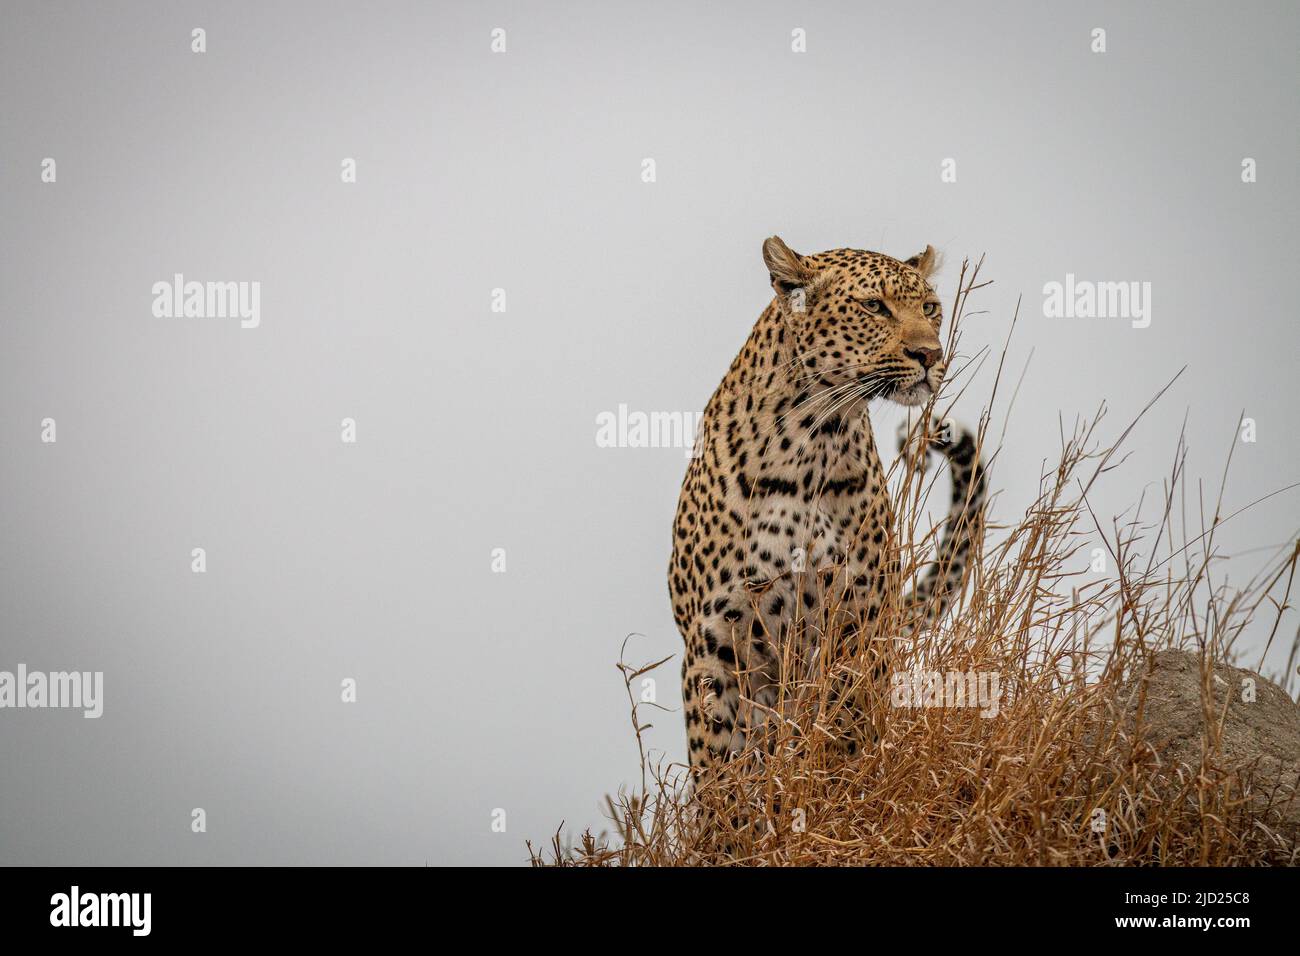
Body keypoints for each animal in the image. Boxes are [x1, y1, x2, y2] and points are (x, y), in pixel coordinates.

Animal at [668, 236, 986, 777]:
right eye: (874, 306)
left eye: (930, 308)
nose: (929, 354)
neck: (812, 439)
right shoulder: (713, 643)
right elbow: (718, 766)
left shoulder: (860, 623)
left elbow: (846, 729)